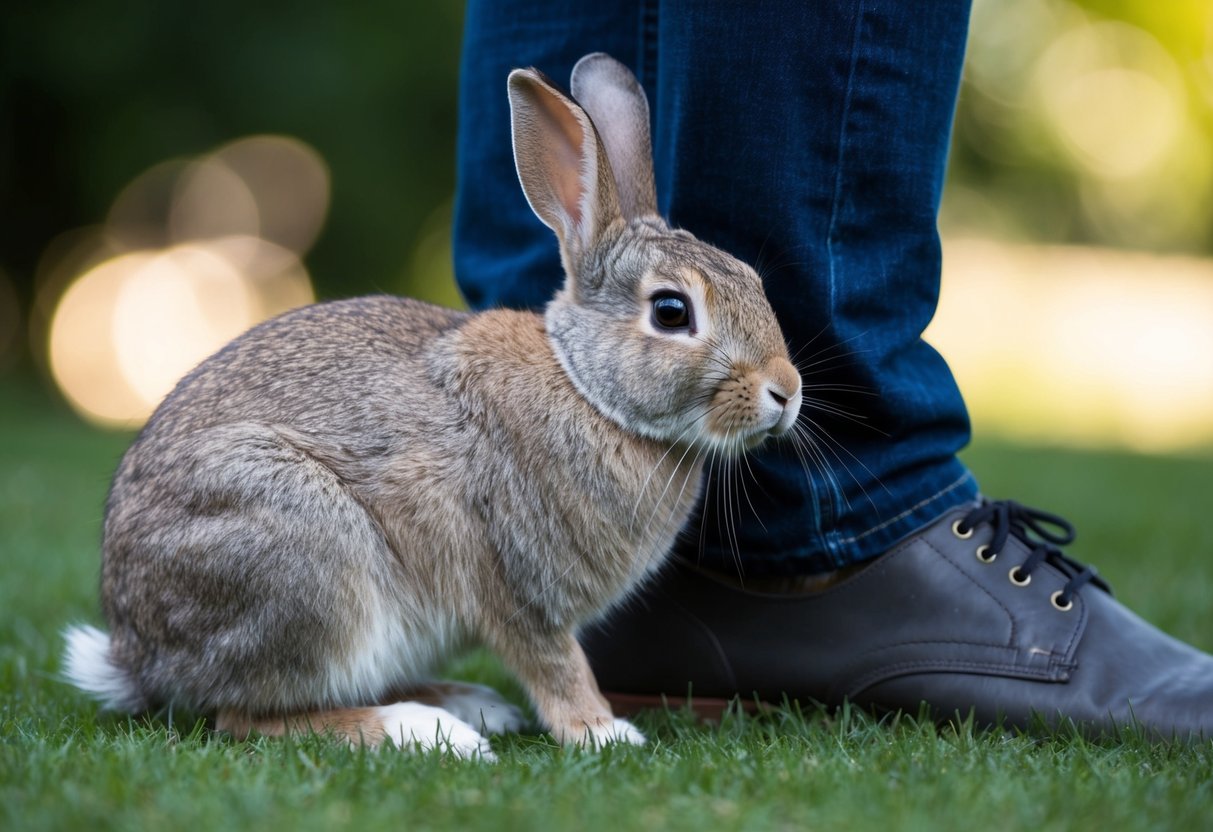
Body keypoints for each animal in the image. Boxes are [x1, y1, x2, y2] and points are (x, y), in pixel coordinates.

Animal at [63, 52, 803, 759]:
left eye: (752, 279)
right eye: (672, 311)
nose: (786, 391)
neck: (588, 391)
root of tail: (141, 654)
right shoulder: (518, 583)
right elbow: (558, 667)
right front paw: (603, 733)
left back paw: (467, 704)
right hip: (304, 558)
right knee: (247, 717)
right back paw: (428, 731)